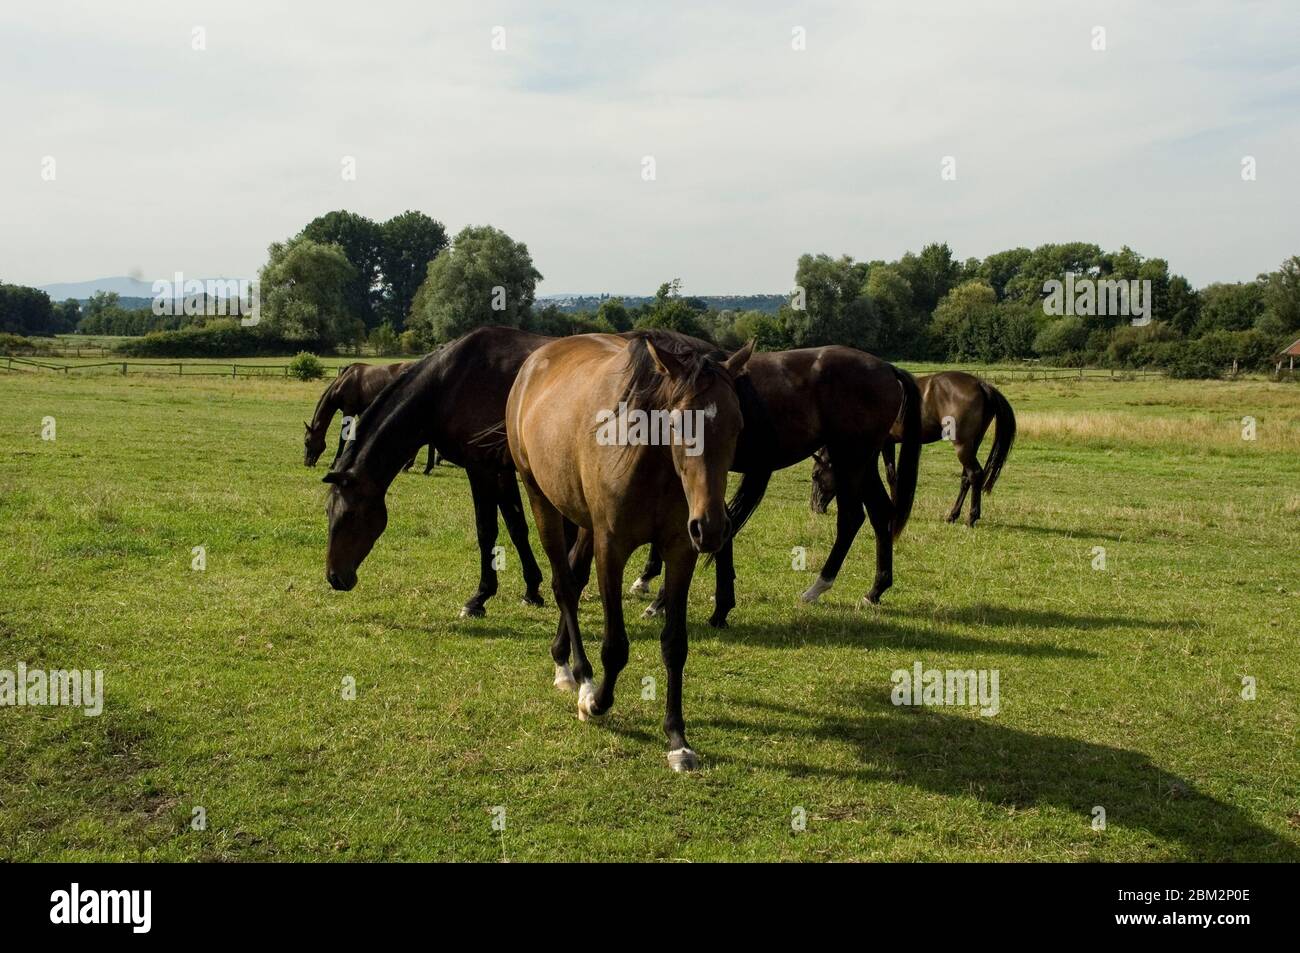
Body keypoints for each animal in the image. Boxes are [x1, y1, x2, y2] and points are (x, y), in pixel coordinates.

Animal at [303, 361, 435, 473]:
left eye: (307, 441)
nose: (307, 463)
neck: (344, 381)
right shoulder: (361, 411)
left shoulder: (349, 410)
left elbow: (343, 437)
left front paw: (334, 464)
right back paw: (424, 467)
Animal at [321, 326, 553, 617]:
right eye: (328, 512)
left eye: (350, 514)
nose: (334, 578)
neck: (450, 384)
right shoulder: (501, 470)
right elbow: (516, 527)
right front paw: (532, 590)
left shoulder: (481, 469)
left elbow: (486, 530)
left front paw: (479, 598)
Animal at [506, 331, 752, 772]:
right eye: (676, 422)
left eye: (737, 425)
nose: (711, 527)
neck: (652, 464)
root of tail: (537, 359)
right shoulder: (612, 548)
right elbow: (616, 647)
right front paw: (595, 703)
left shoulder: (680, 550)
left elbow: (675, 644)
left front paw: (677, 738)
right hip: (541, 500)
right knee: (564, 586)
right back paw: (576, 674)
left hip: (584, 521)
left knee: (572, 578)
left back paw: (563, 658)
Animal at [627, 345, 922, 625]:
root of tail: (887, 368)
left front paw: (661, 596)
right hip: (863, 464)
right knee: (881, 513)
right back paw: (875, 590)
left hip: (849, 460)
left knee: (851, 518)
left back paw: (817, 587)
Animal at [810, 370, 1015, 526]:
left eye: (815, 475)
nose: (814, 508)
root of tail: (981, 384)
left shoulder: (883, 443)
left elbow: (890, 476)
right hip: (972, 445)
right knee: (966, 478)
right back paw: (952, 515)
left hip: (962, 446)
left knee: (975, 474)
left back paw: (971, 518)